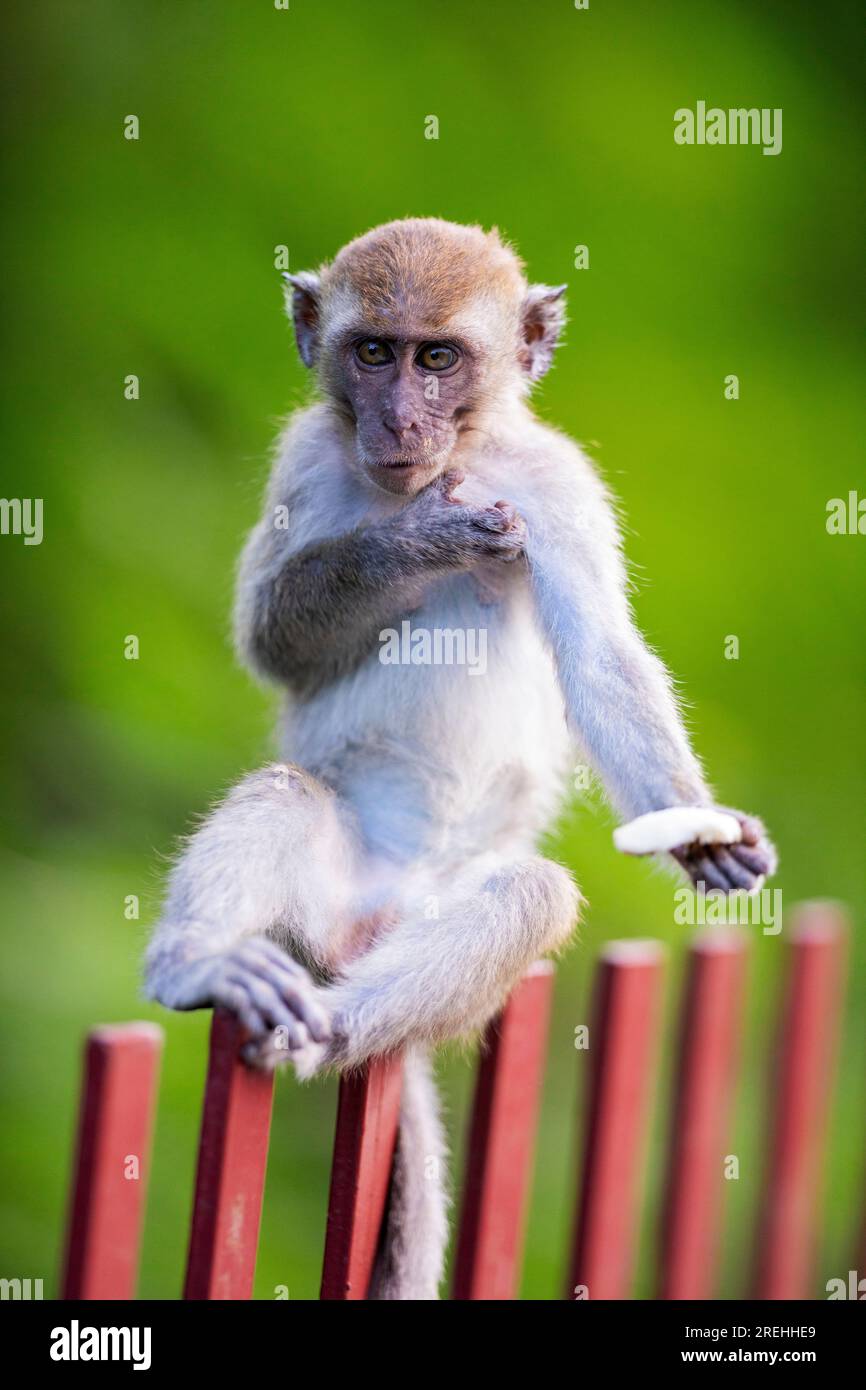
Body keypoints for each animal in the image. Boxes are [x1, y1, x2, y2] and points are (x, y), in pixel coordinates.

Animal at [145, 218, 776, 1300]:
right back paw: (205, 966)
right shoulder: (305, 456)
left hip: (426, 922)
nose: (399, 419)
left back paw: (335, 1026)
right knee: (286, 795)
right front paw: (423, 536)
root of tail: (363, 930)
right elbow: (270, 639)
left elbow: (599, 654)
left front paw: (701, 835)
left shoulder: (559, 483)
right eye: (373, 351)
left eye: (437, 360)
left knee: (527, 896)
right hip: (324, 900)